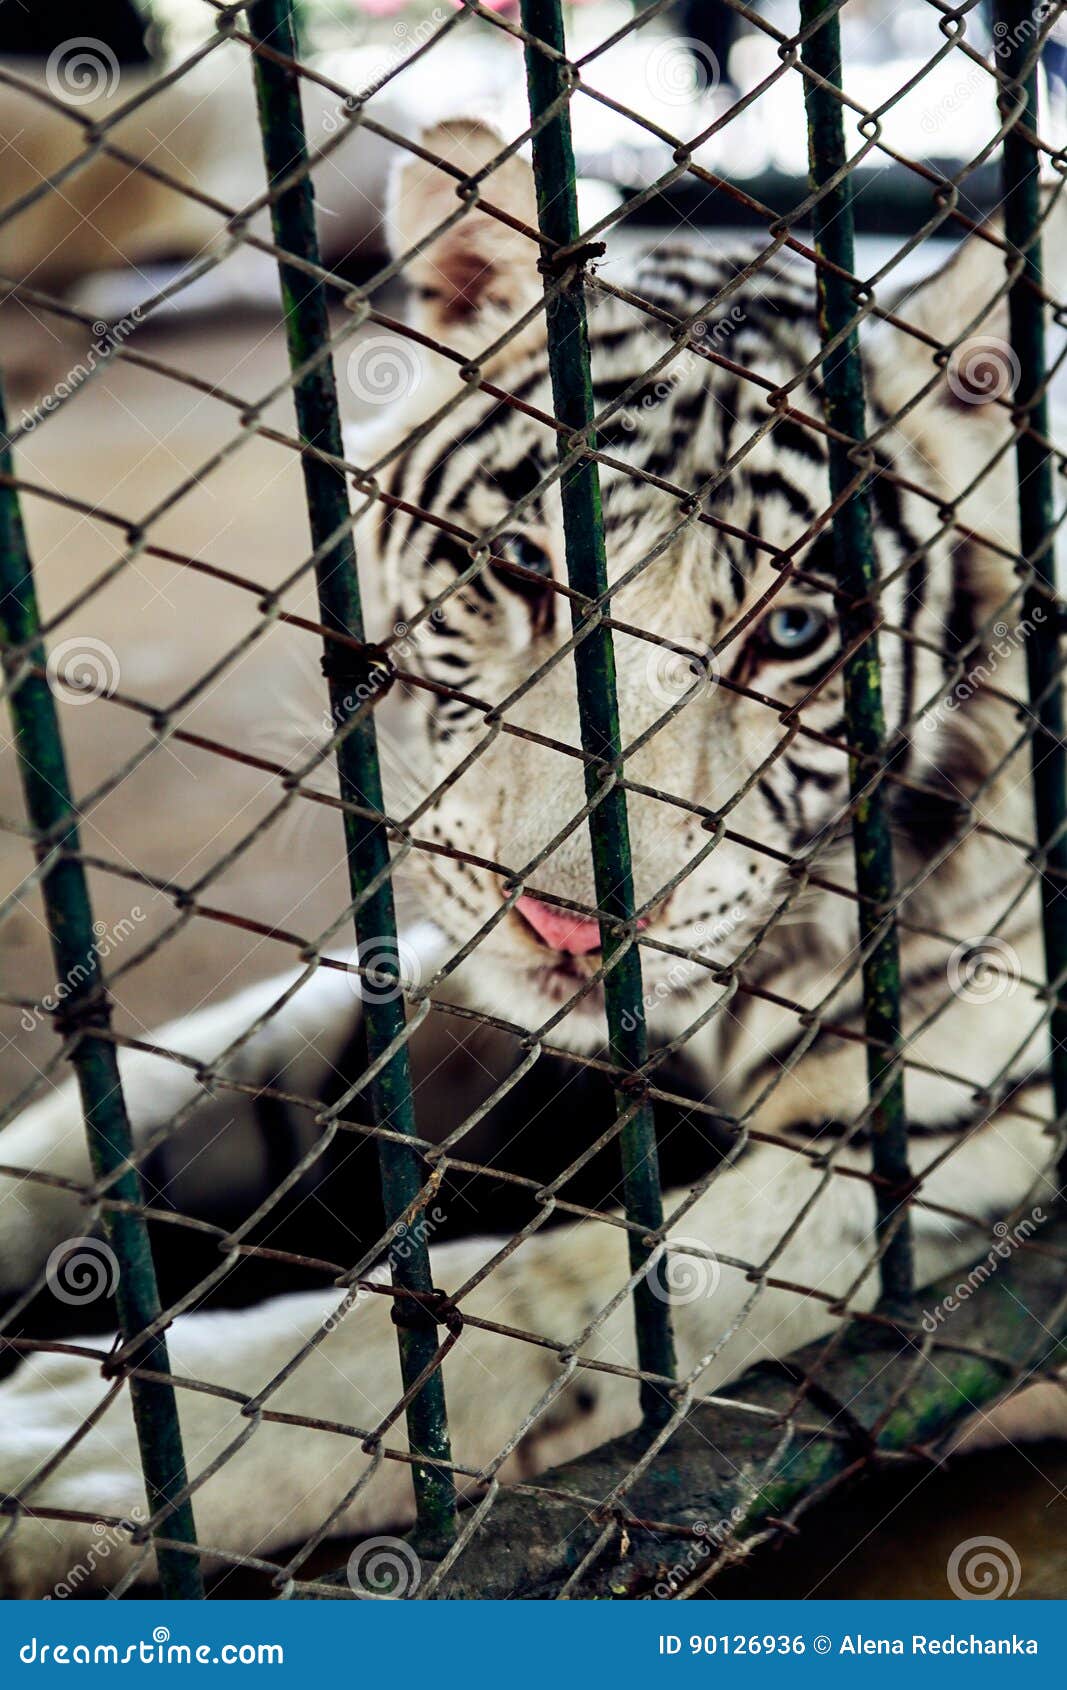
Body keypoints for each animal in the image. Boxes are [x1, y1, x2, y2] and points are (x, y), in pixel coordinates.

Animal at [0, 118, 1063, 1596]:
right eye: (515, 565)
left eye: (791, 633)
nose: (563, 928)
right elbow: (151, 1102)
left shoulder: (943, 1137)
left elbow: (544, 1303)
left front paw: (73, 1450)